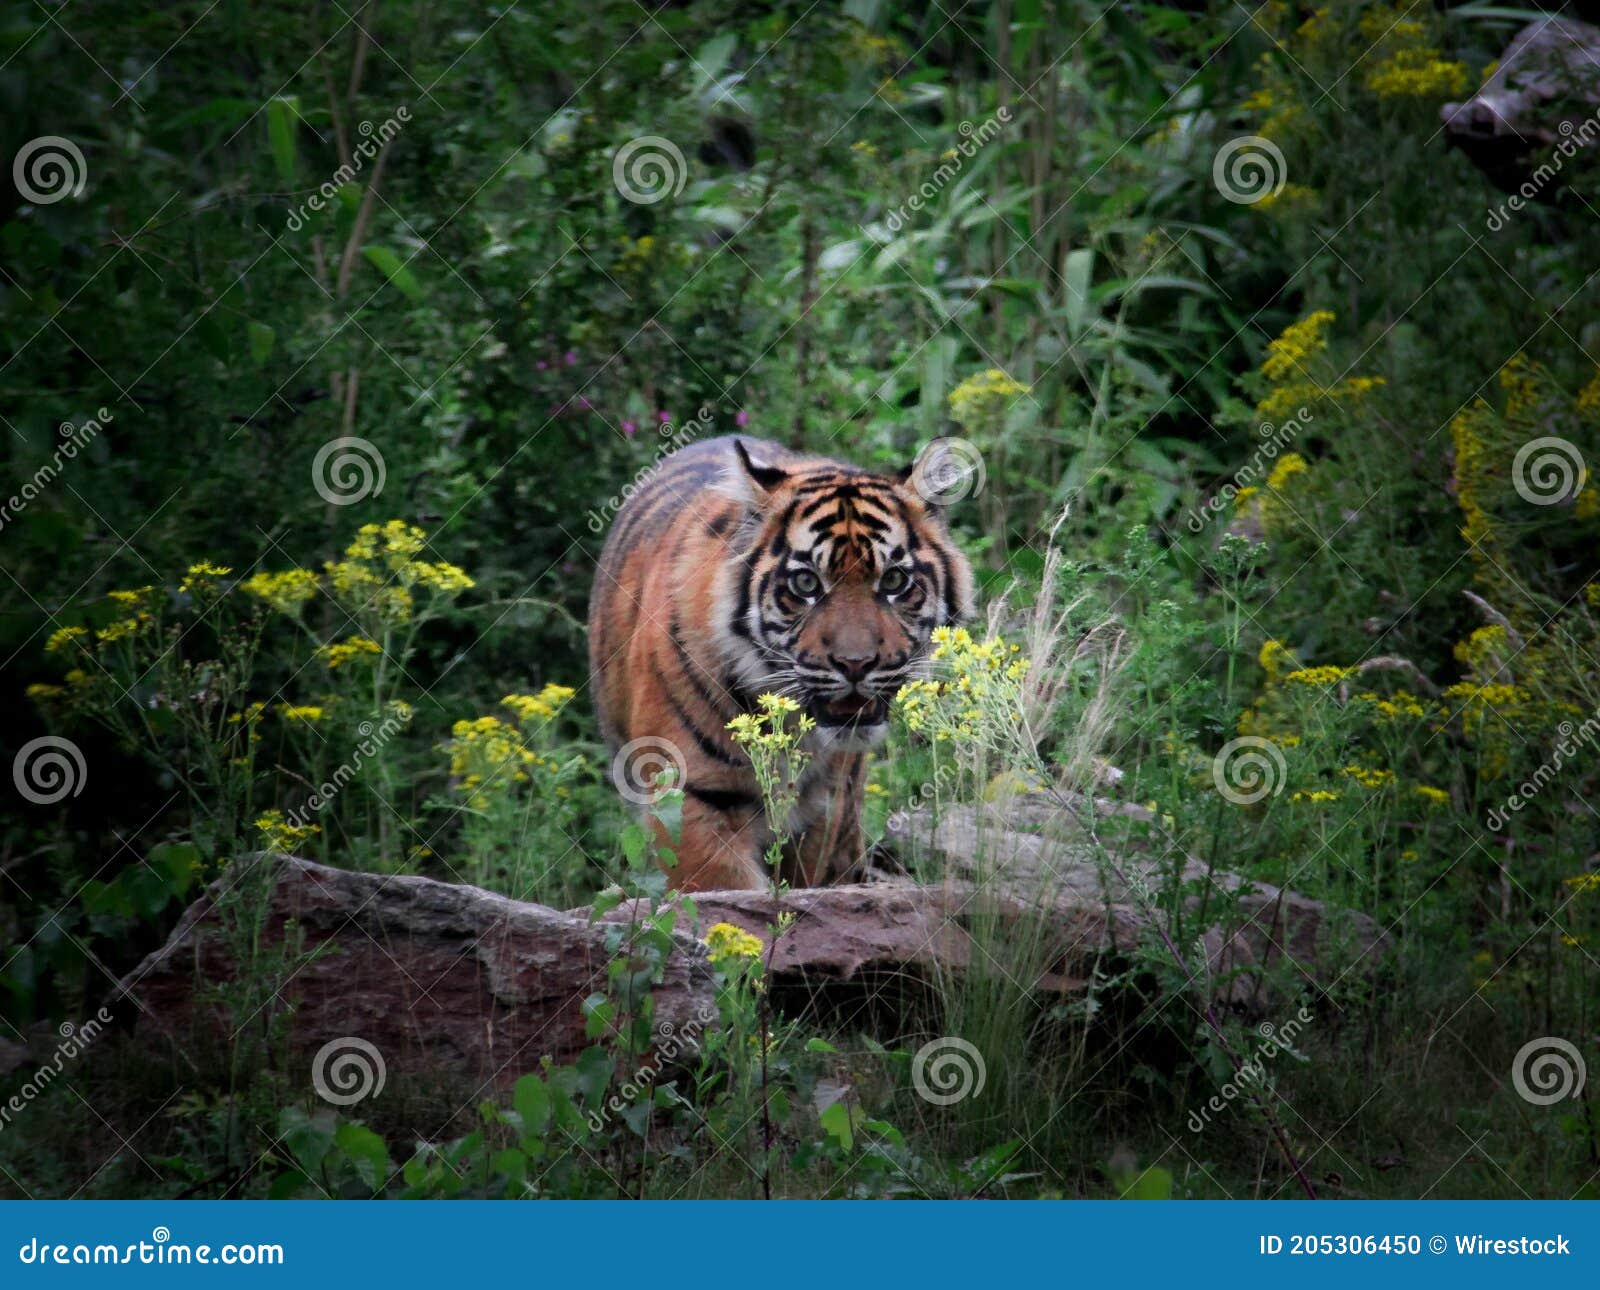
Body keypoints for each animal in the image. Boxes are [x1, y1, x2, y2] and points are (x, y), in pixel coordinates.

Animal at [588, 434, 974, 892]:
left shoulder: (825, 811)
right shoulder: (694, 797)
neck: (793, 728)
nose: (856, 664)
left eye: (895, 580)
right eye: (805, 583)